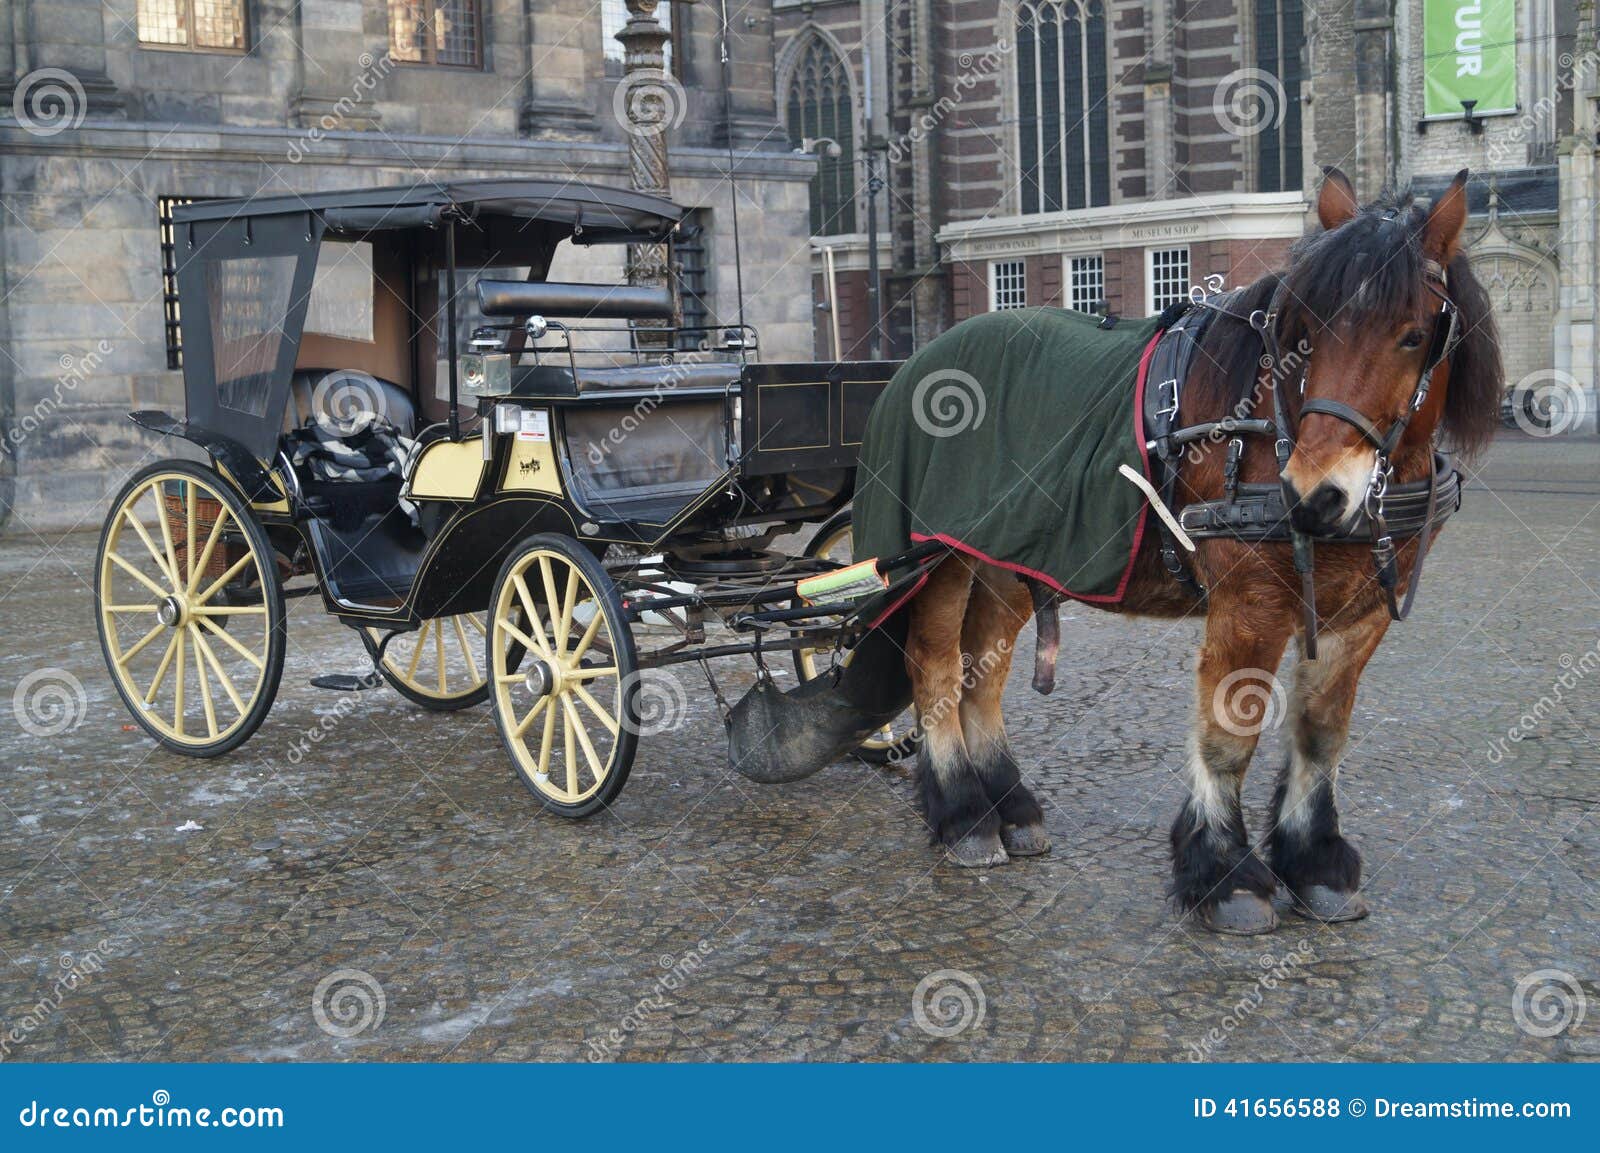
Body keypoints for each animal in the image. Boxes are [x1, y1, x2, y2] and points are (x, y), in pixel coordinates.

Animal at [893, 168, 1502, 934]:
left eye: (1415, 335)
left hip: (1010, 557)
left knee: (984, 670)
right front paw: (1223, 870)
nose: (1316, 495)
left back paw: (1009, 803)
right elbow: (1229, 734)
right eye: (1304, 333)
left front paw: (1315, 858)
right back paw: (963, 813)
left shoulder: (1358, 616)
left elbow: (1321, 732)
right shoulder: (1250, 604)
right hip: (940, 558)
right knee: (938, 667)